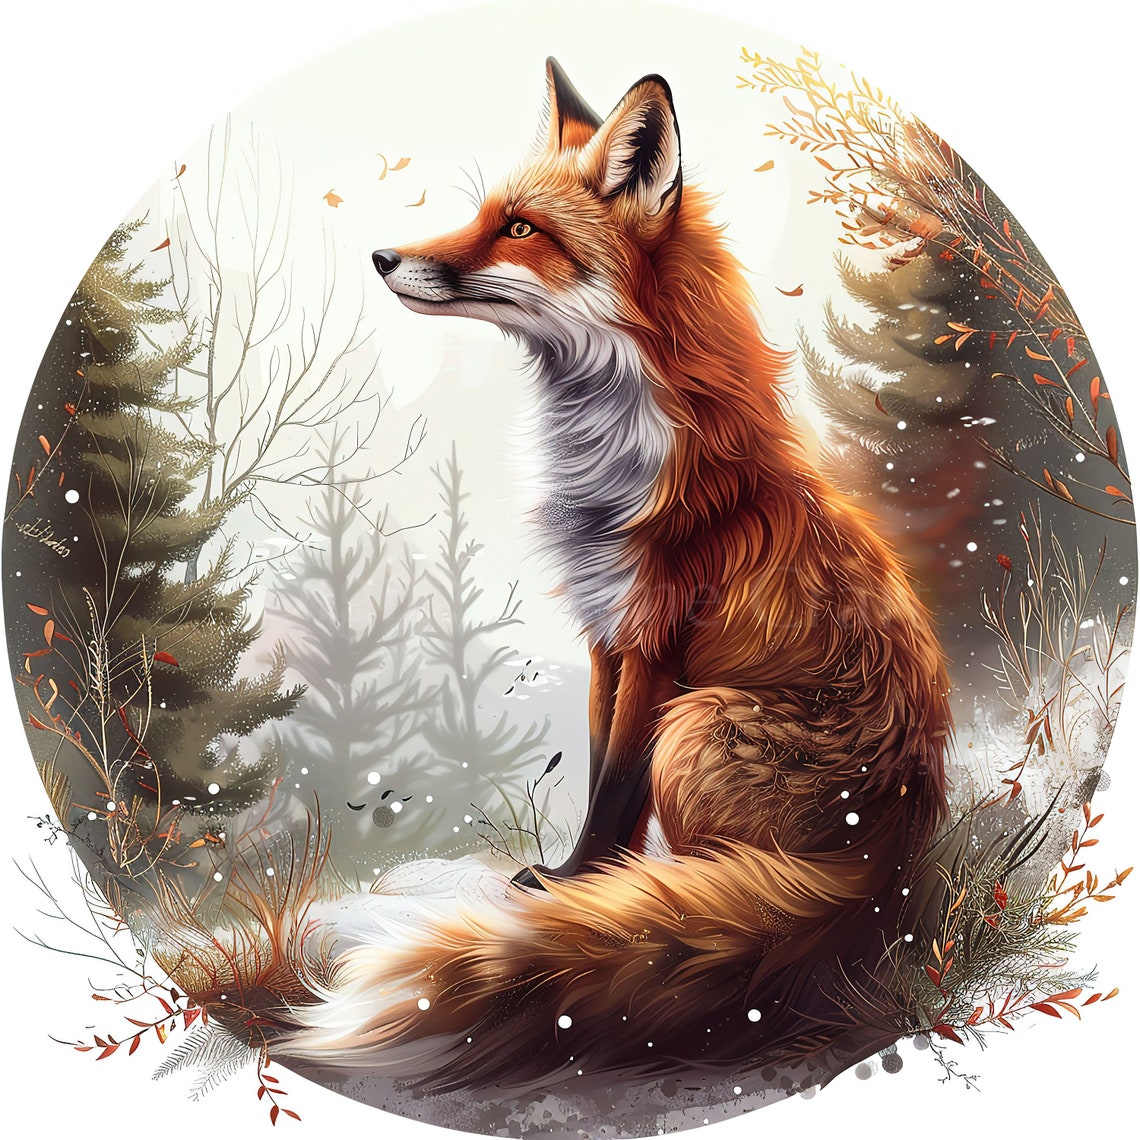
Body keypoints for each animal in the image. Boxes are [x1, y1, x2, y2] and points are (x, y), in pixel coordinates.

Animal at [259, 58, 952, 1090]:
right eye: (482, 214)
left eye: (519, 229)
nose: (382, 257)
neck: (609, 468)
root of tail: (887, 874)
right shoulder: (603, 638)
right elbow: (598, 783)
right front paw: (590, 891)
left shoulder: (658, 644)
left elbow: (616, 787)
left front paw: (580, 895)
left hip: (699, 723)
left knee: (731, 883)